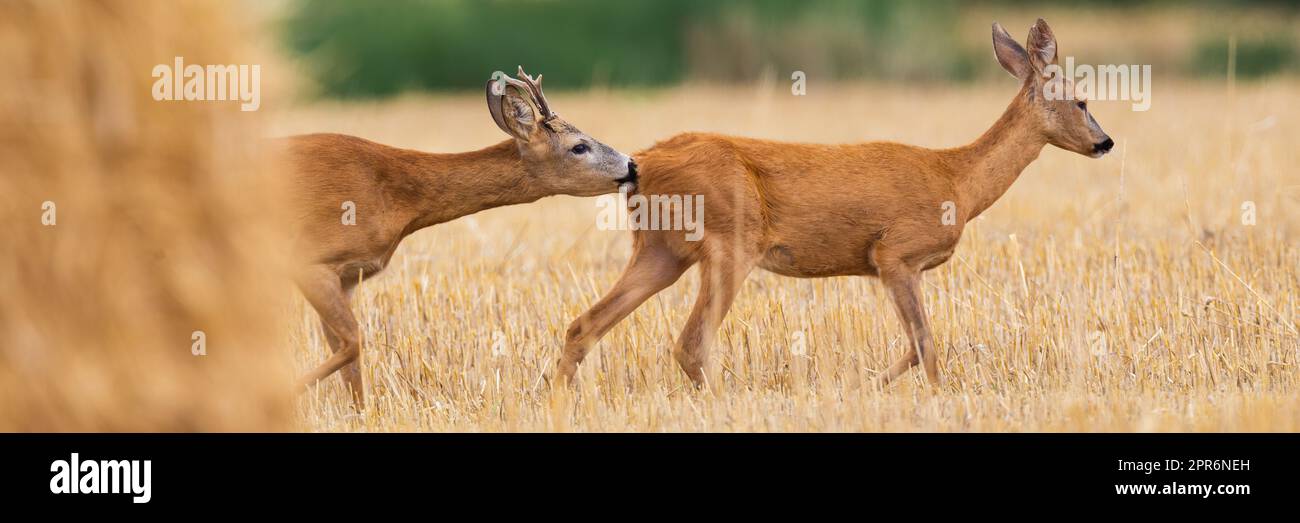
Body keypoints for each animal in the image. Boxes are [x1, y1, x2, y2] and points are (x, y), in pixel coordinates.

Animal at [285, 67, 636, 408]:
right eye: (579, 146)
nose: (632, 165)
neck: (394, 196)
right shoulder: (311, 261)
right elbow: (353, 342)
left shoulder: (348, 277)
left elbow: (350, 363)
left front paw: (360, 413)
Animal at [557, 19, 1113, 389]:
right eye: (1082, 101)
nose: (1105, 142)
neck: (959, 181)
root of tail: (642, 161)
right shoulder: (896, 254)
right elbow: (926, 346)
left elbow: (916, 347)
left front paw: (867, 386)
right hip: (730, 239)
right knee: (690, 344)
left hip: (660, 249)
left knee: (583, 325)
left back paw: (559, 399)